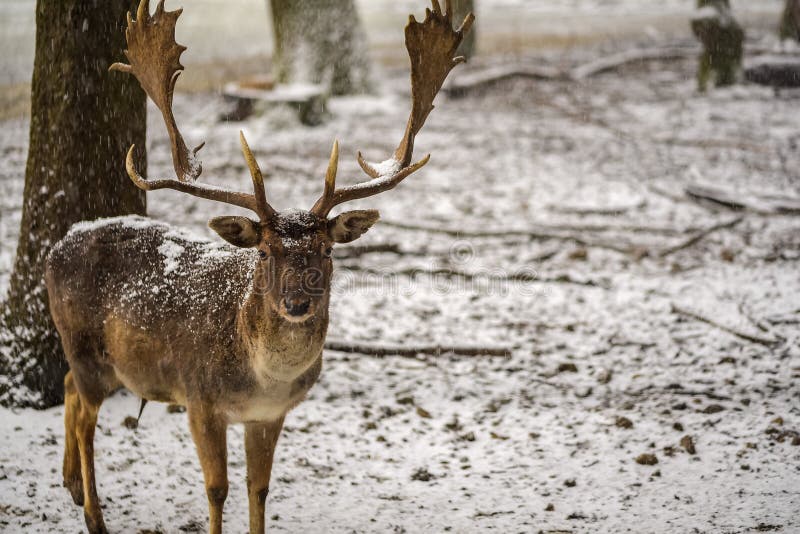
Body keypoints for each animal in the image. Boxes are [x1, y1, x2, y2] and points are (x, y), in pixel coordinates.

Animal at [44, 1, 473, 533]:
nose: (297, 302)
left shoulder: (270, 414)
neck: (264, 378)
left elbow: (259, 488)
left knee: (67, 389)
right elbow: (217, 489)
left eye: (327, 250)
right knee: (85, 418)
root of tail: (57, 246)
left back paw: (71, 485)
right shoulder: (200, 399)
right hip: (85, 346)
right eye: (265, 251)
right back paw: (94, 515)